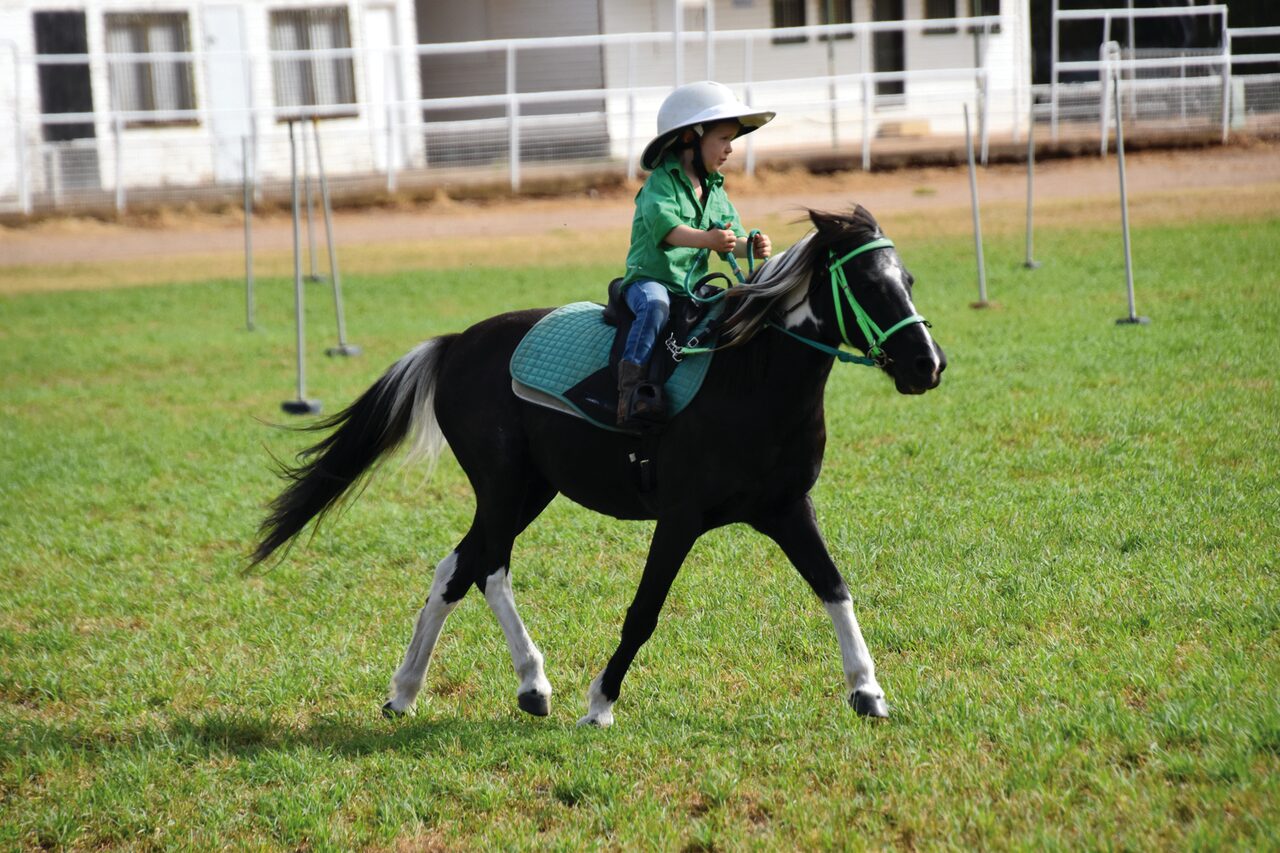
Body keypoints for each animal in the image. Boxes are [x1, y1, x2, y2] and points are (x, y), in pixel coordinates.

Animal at [251, 205, 946, 727]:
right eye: (870, 286)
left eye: (909, 280)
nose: (928, 364)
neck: (745, 378)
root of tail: (454, 345)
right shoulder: (680, 519)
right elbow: (644, 611)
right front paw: (600, 704)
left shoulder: (786, 509)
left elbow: (835, 588)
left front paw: (867, 690)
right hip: (502, 486)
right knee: (489, 570)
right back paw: (529, 683)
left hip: (530, 491)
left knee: (457, 568)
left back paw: (408, 691)